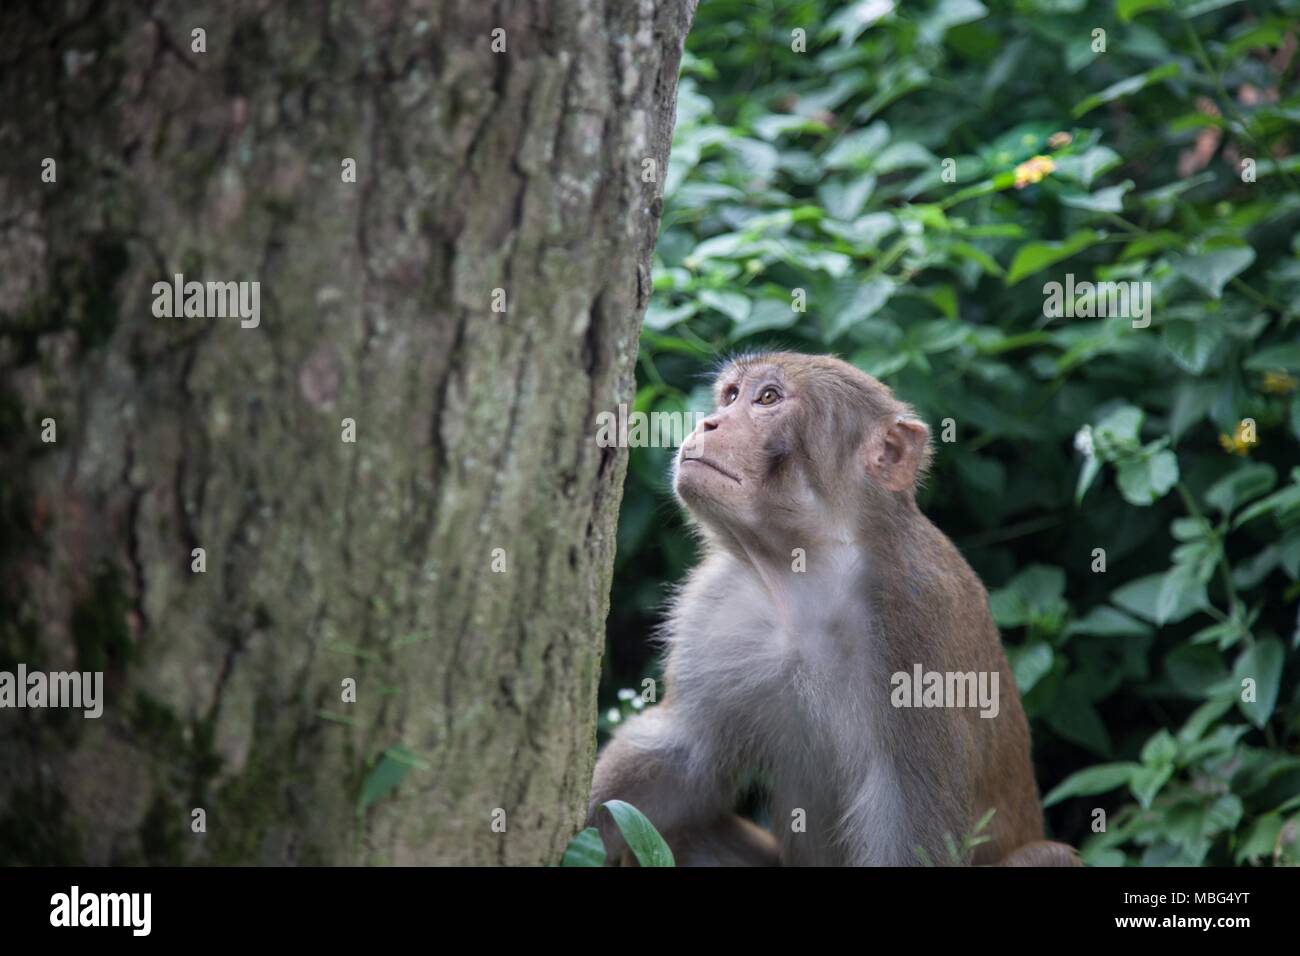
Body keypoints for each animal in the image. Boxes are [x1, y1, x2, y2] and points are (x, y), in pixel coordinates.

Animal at [588, 351, 1081, 867]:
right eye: (731, 395)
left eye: (768, 398)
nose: (708, 422)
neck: (810, 572)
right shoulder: (715, 601)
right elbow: (687, 756)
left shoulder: (921, 627)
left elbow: (915, 828)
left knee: (1051, 856)